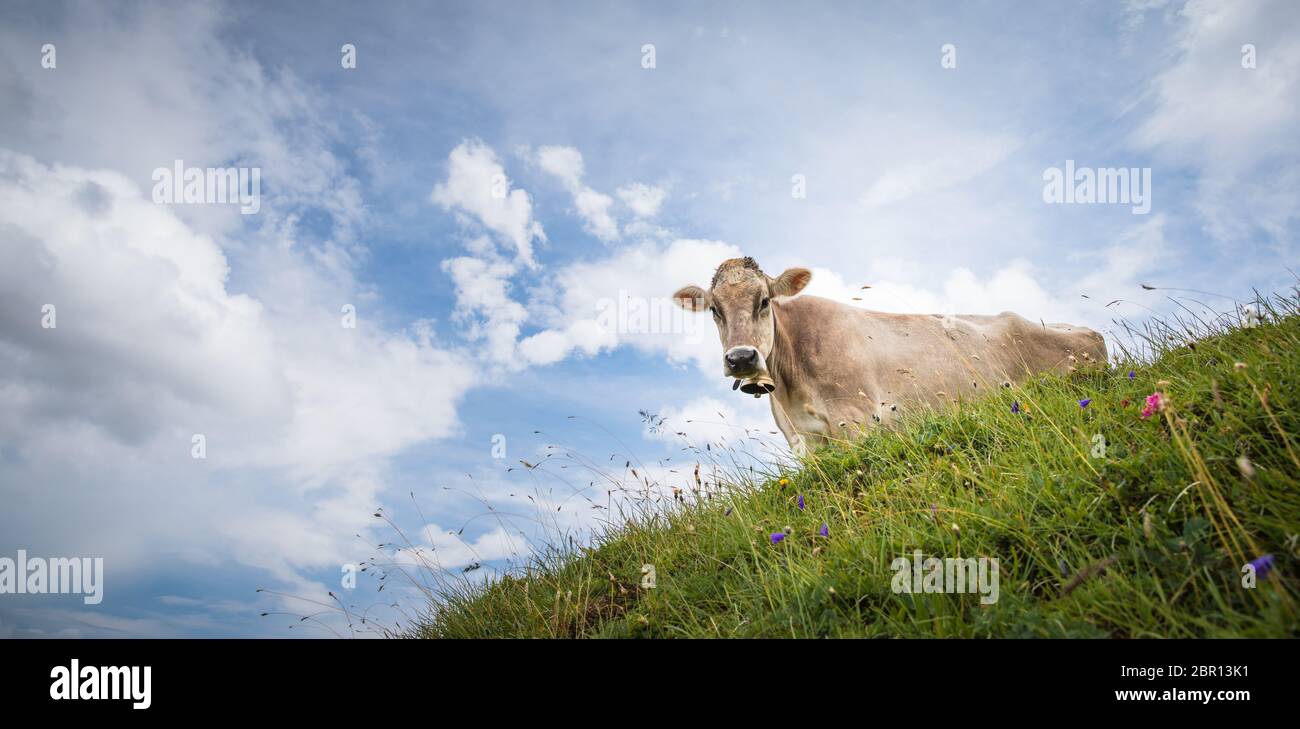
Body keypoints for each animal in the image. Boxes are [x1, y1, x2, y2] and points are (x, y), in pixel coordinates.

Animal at [672, 257, 1106, 453]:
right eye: (715, 310)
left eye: (764, 301)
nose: (741, 359)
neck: (792, 389)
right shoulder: (804, 445)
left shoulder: (857, 422)